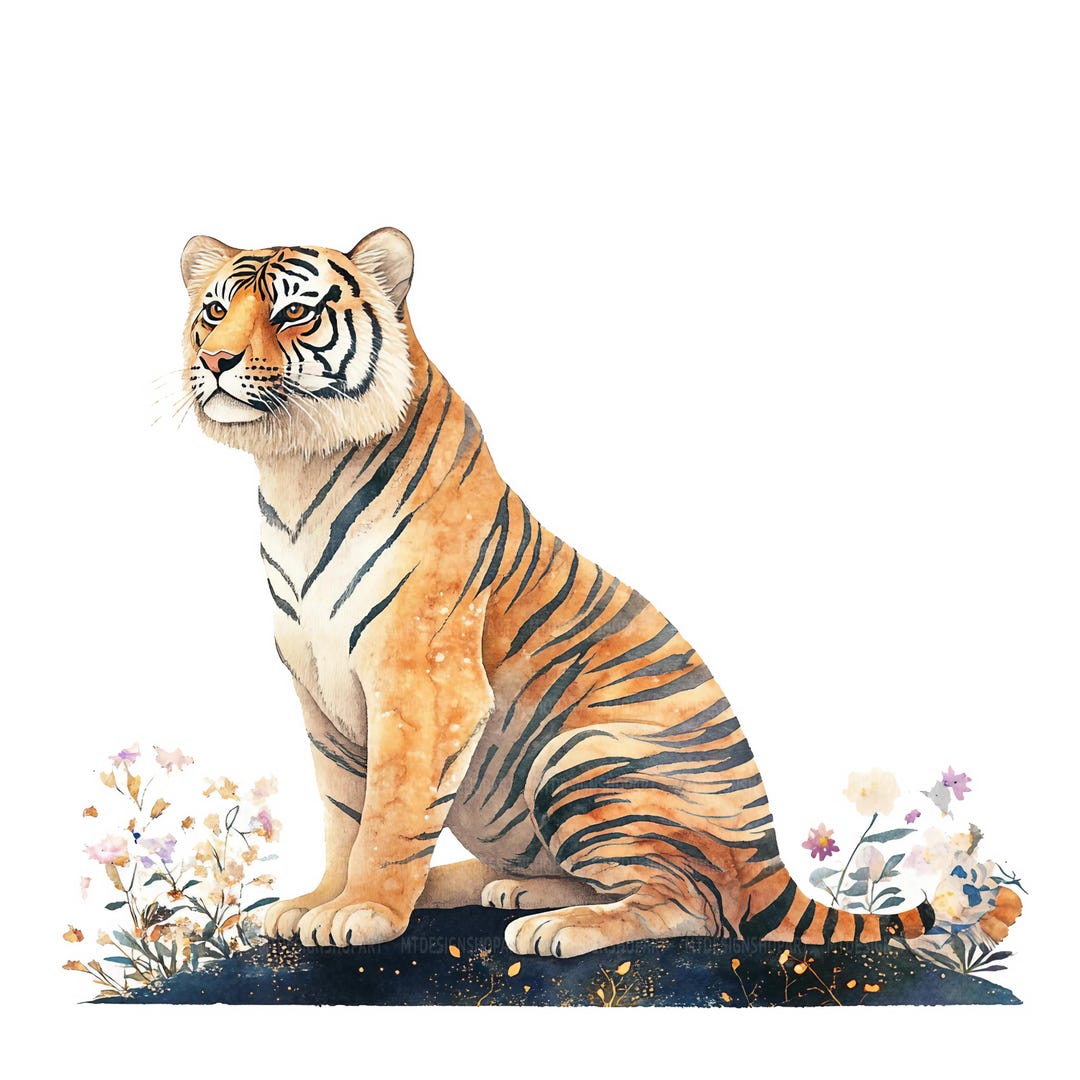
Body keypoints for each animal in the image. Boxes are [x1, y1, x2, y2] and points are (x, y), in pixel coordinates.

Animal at [177, 227, 1012, 959]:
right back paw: (495, 889)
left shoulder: (422, 683)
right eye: (214, 311)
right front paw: (319, 901)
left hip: (583, 754)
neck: (295, 468)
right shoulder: (322, 694)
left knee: (691, 905)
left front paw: (364, 912)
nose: (215, 359)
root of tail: (768, 858)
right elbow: (345, 811)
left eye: (293, 312)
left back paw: (555, 927)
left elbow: (388, 814)